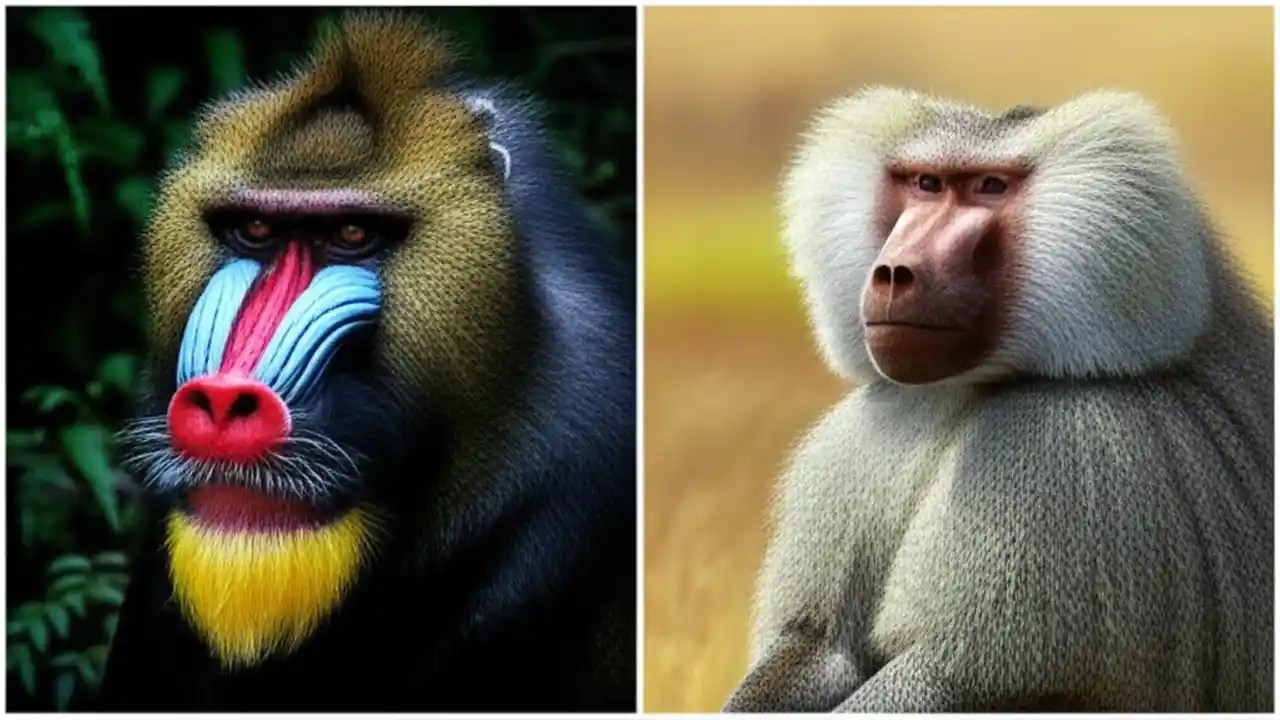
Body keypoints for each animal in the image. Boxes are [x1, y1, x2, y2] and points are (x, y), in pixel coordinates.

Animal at [722, 86, 1273, 712]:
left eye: (989, 186)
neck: (979, 384)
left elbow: (948, 674)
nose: (895, 273)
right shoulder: (878, 434)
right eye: (926, 183)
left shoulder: (1058, 454)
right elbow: (815, 647)